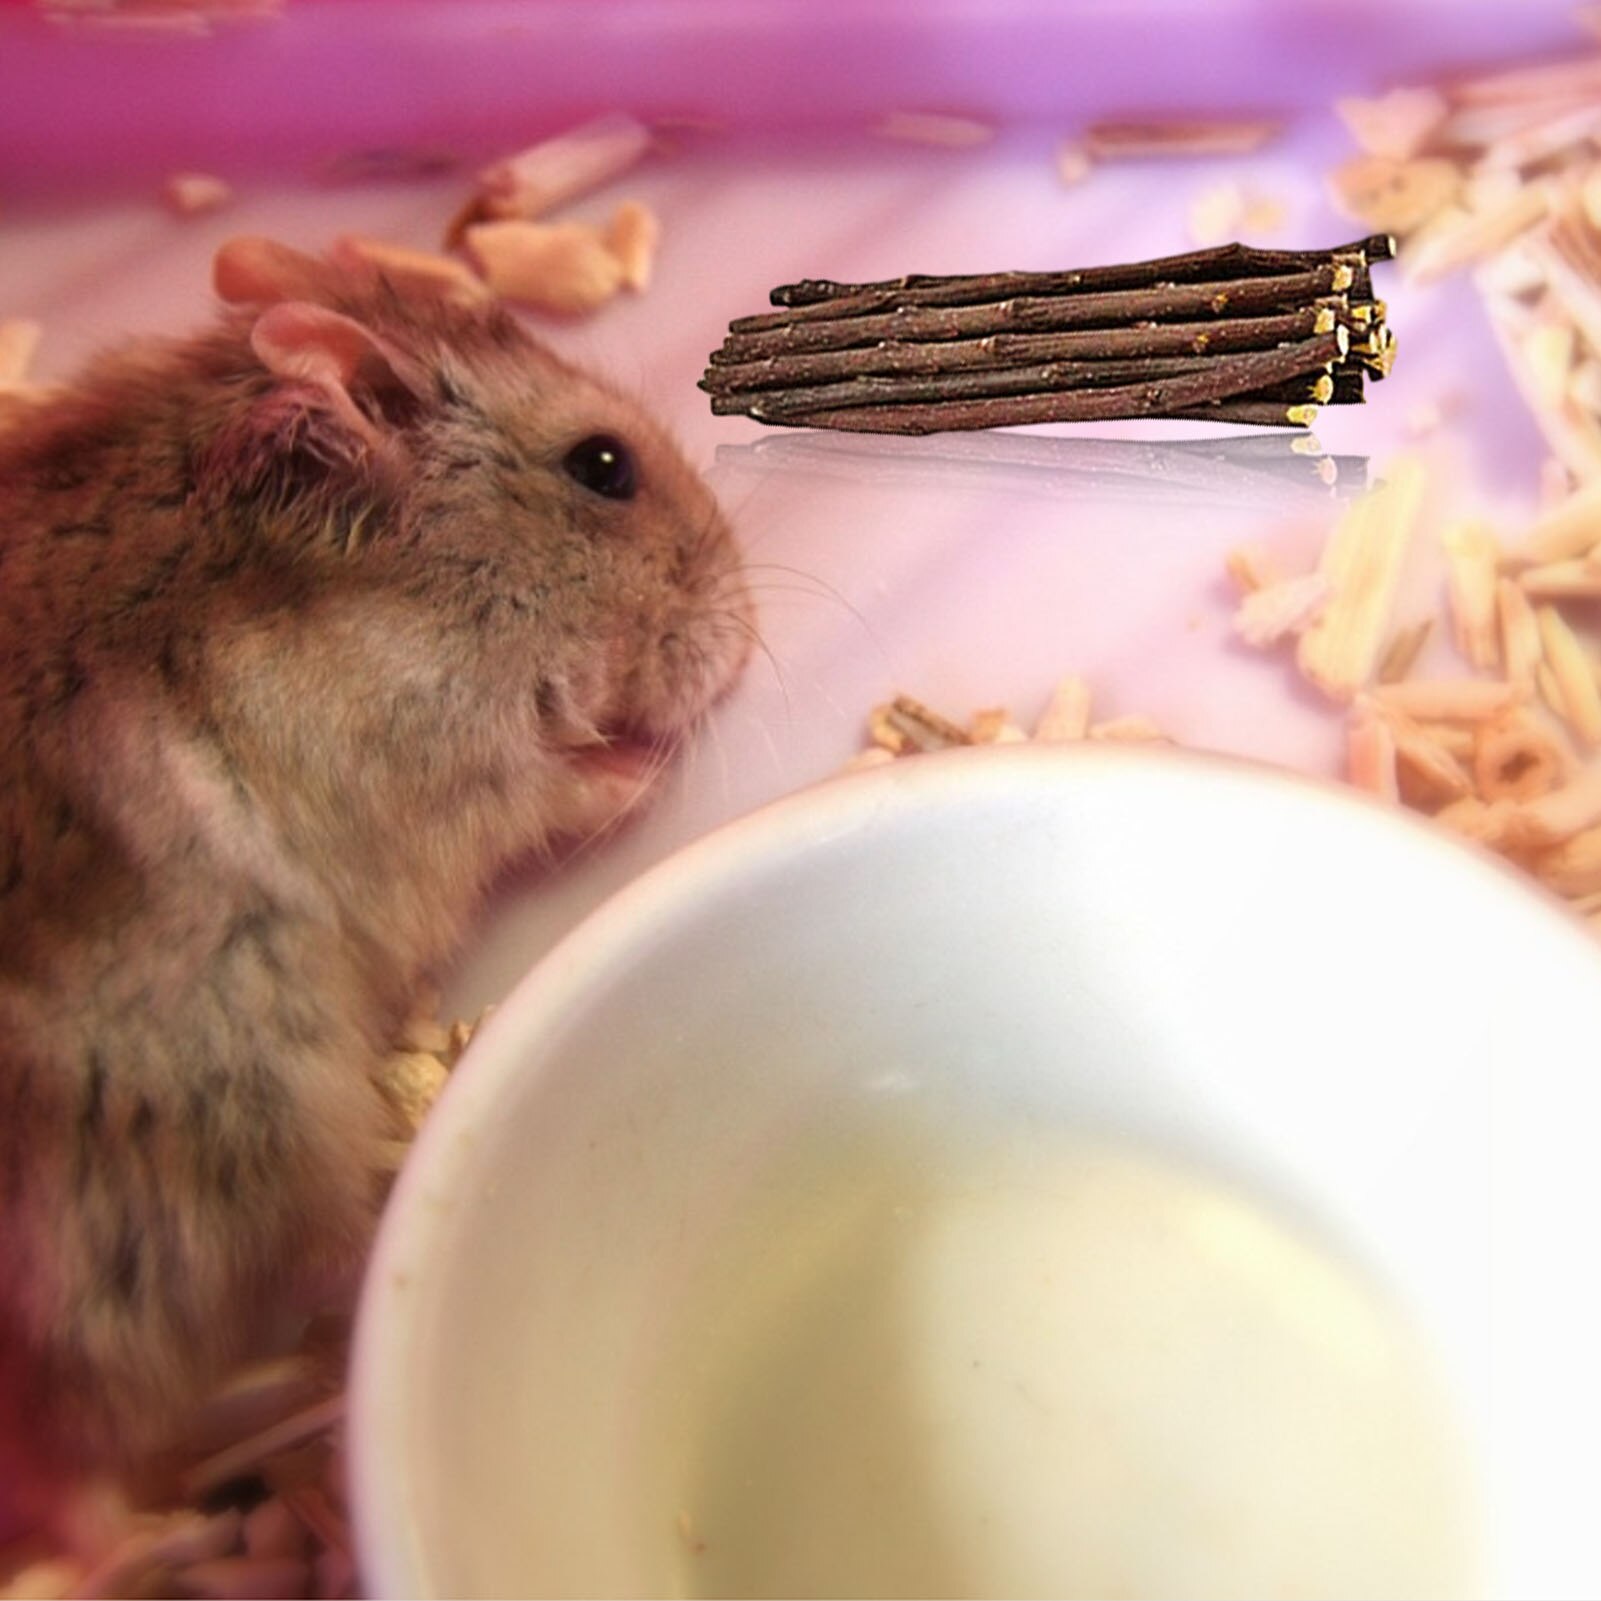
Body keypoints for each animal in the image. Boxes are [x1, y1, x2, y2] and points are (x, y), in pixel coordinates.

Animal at [0, 237, 754, 1518]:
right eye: (602, 467)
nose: (748, 628)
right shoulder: (458, 785)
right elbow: (559, 784)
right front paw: (638, 768)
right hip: (224, 1128)